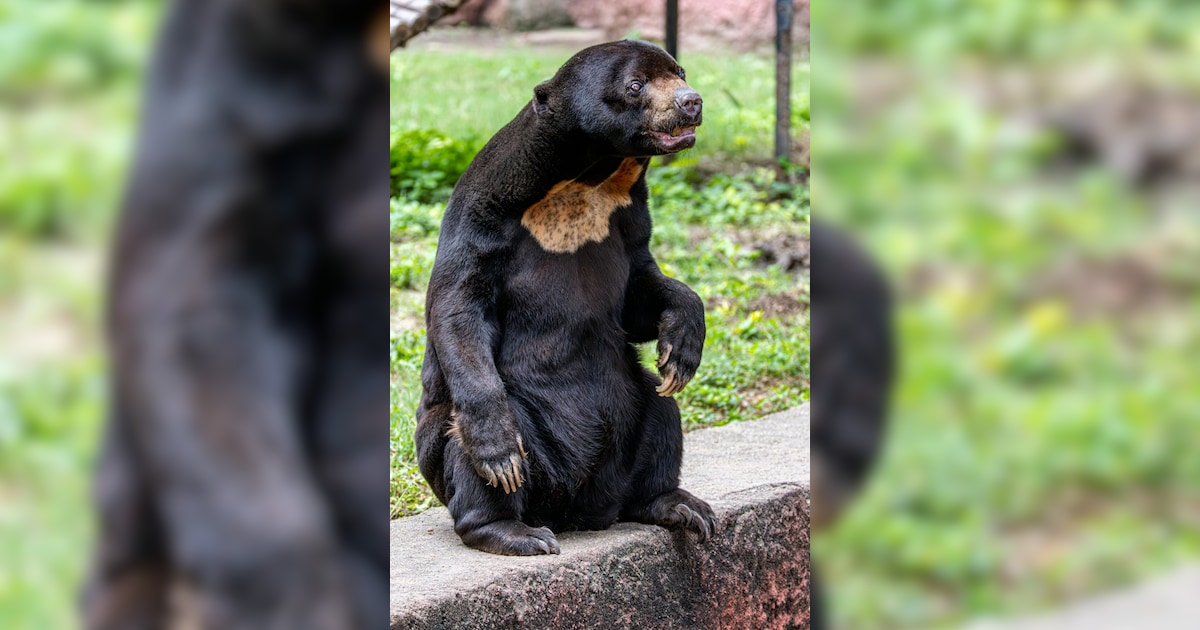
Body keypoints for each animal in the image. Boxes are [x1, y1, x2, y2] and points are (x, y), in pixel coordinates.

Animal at [415, 40, 716, 556]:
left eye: (679, 71)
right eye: (635, 85)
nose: (690, 102)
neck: (586, 181)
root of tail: (578, 509)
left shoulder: (626, 219)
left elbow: (638, 289)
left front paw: (680, 351)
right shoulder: (484, 216)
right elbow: (460, 309)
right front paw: (497, 453)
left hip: (630, 411)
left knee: (661, 415)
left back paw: (677, 504)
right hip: (478, 445)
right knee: (471, 442)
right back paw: (514, 530)